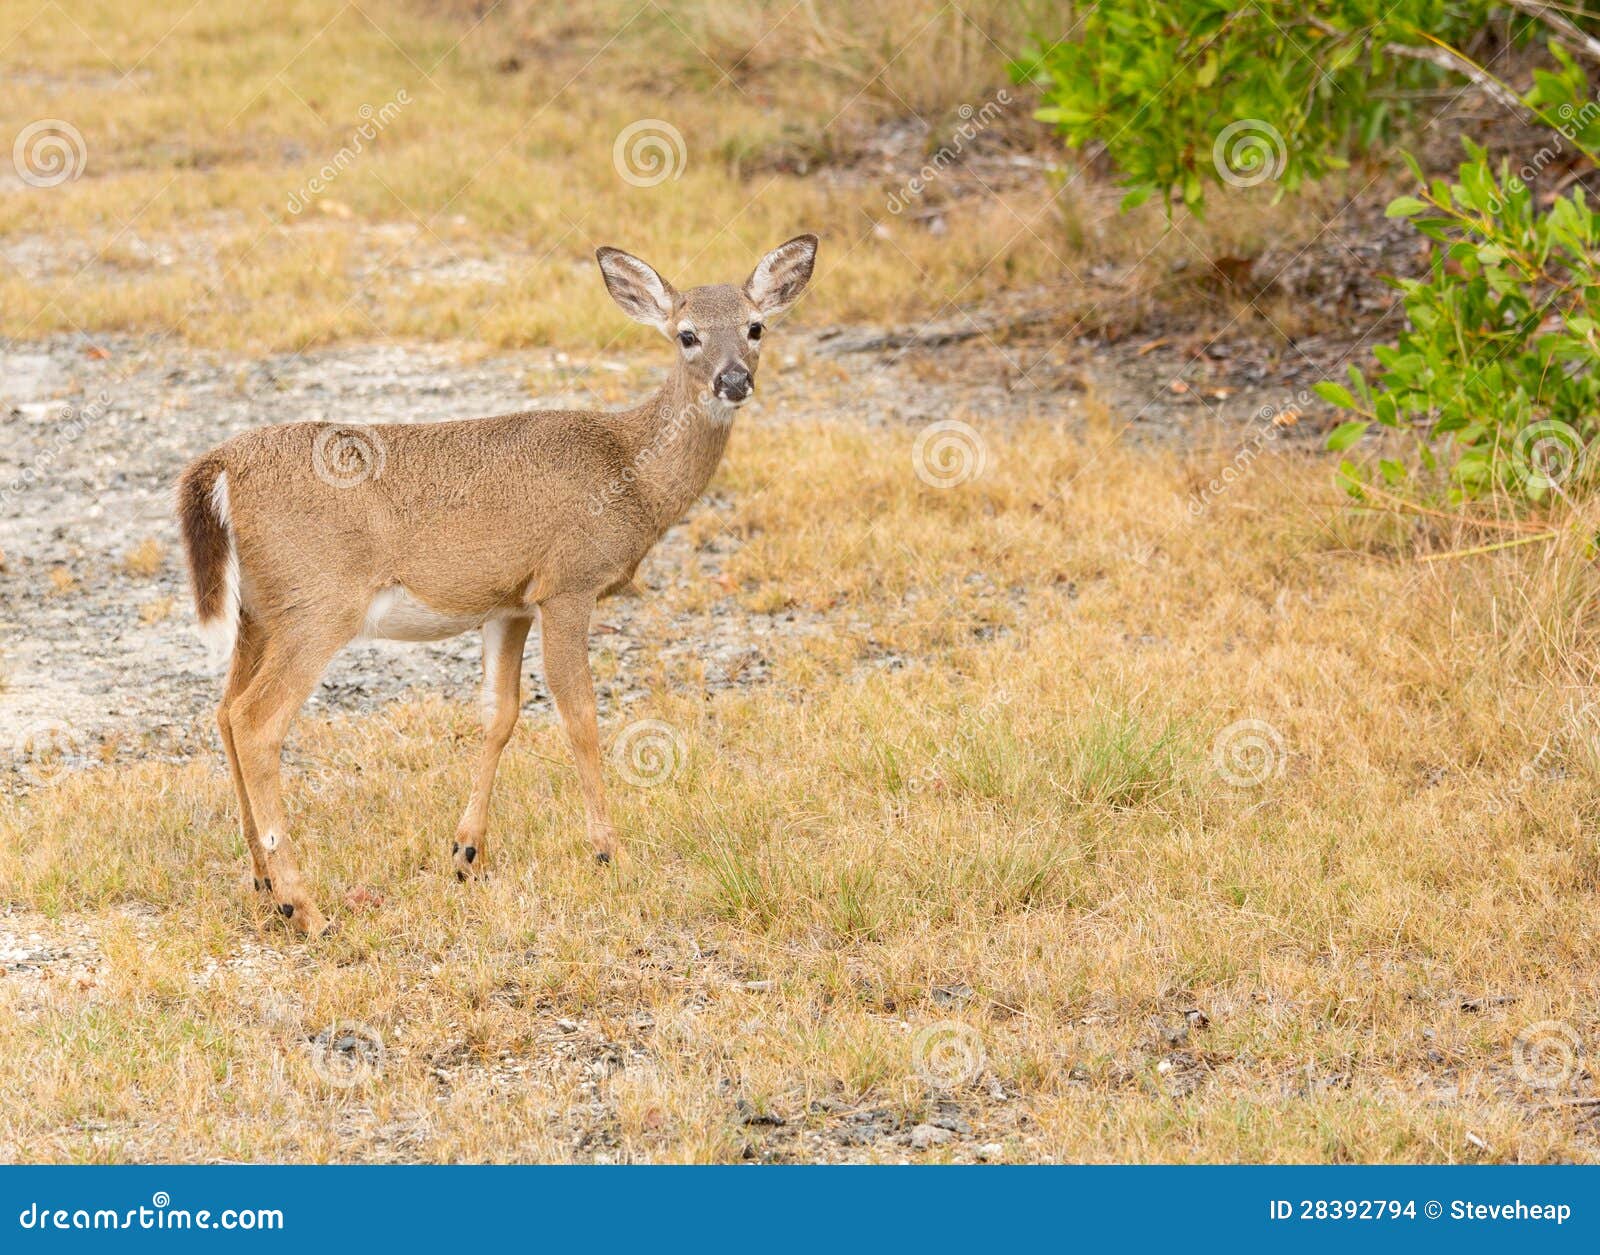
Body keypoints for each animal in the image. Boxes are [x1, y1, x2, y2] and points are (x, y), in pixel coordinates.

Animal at [176, 234, 818, 935]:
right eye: (687, 334)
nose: (734, 380)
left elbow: (499, 715)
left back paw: (264, 883)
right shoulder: (567, 584)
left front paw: (466, 852)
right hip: (318, 605)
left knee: (224, 712)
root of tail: (221, 467)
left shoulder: (509, 604)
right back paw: (305, 905)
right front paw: (609, 851)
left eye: (756, 328)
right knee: (257, 721)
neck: (632, 473)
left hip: (260, 612)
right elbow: (580, 715)